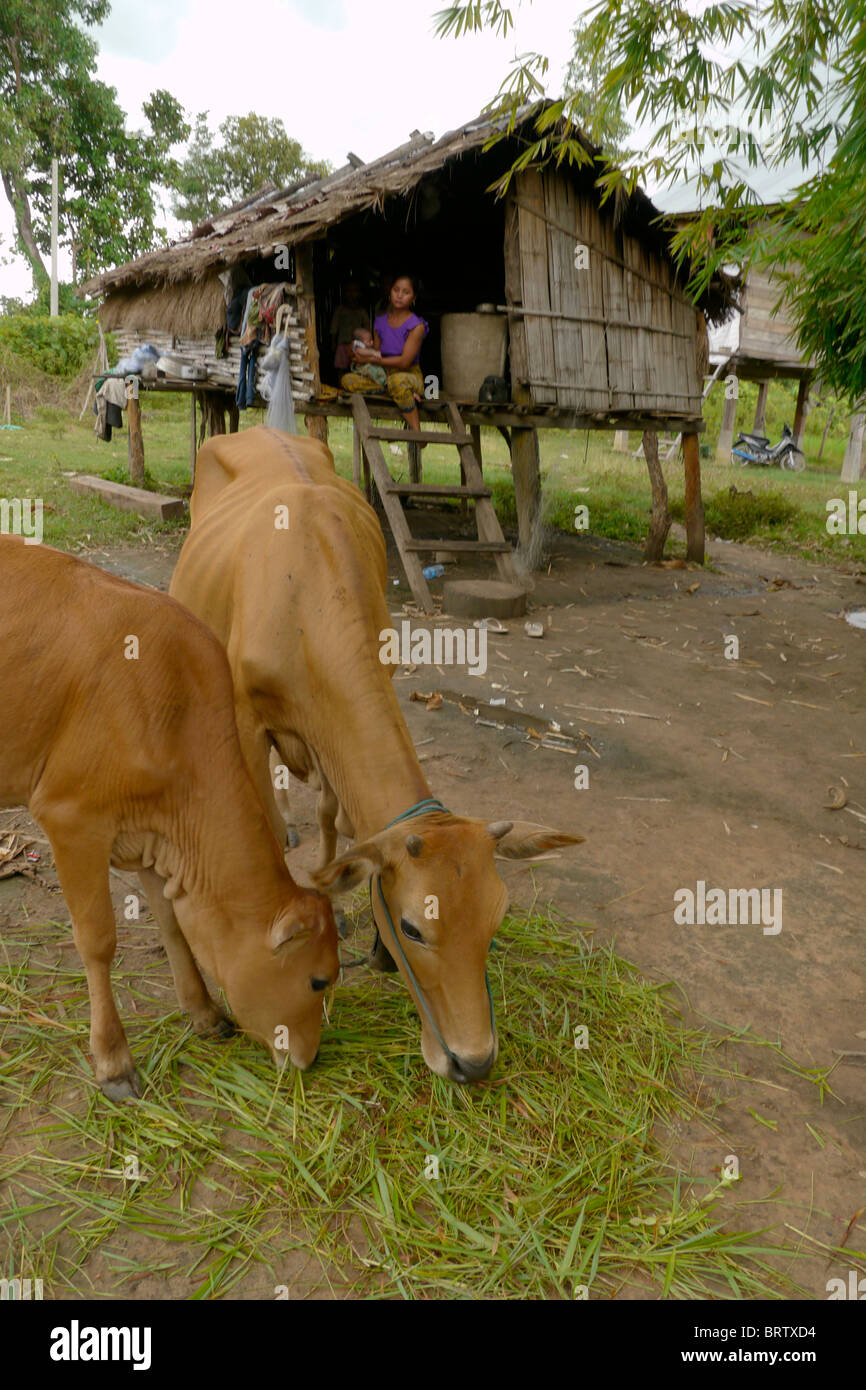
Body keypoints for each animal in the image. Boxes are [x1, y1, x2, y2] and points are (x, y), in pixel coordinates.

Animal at [0, 535, 371, 1098]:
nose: (307, 1059)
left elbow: (174, 924)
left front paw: (205, 1012)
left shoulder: (150, 835)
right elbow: (98, 941)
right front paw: (114, 1061)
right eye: (318, 980)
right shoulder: (71, 819)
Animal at [170, 426, 582, 1084]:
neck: (306, 595)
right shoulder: (246, 719)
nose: (475, 1061)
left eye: (496, 920)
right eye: (414, 926)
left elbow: (339, 818)